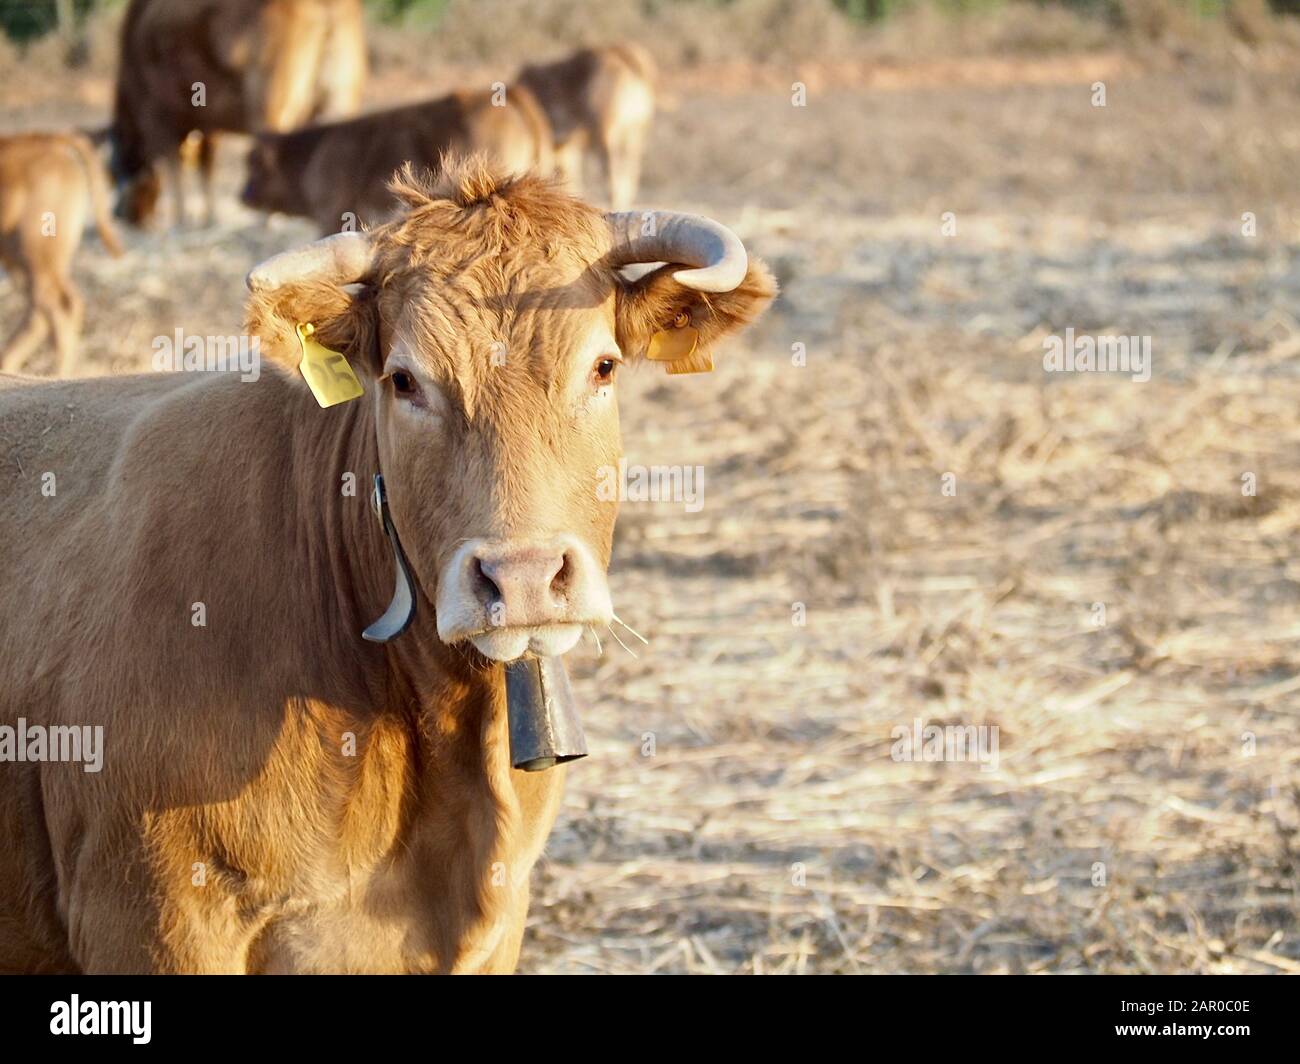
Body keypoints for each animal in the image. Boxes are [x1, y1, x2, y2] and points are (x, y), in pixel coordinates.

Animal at [1, 132, 123, 378]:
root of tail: (54, 140)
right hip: (19, 256)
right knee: (41, 311)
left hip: (36, 253)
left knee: (59, 307)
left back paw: (56, 375)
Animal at [112, 0, 367, 227]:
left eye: (114, 171)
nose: (119, 213)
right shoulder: (207, 122)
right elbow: (207, 165)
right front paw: (210, 218)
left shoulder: (154, 114)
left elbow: (175, 168)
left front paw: (180, 220)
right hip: (342, 93)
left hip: (268, 98)